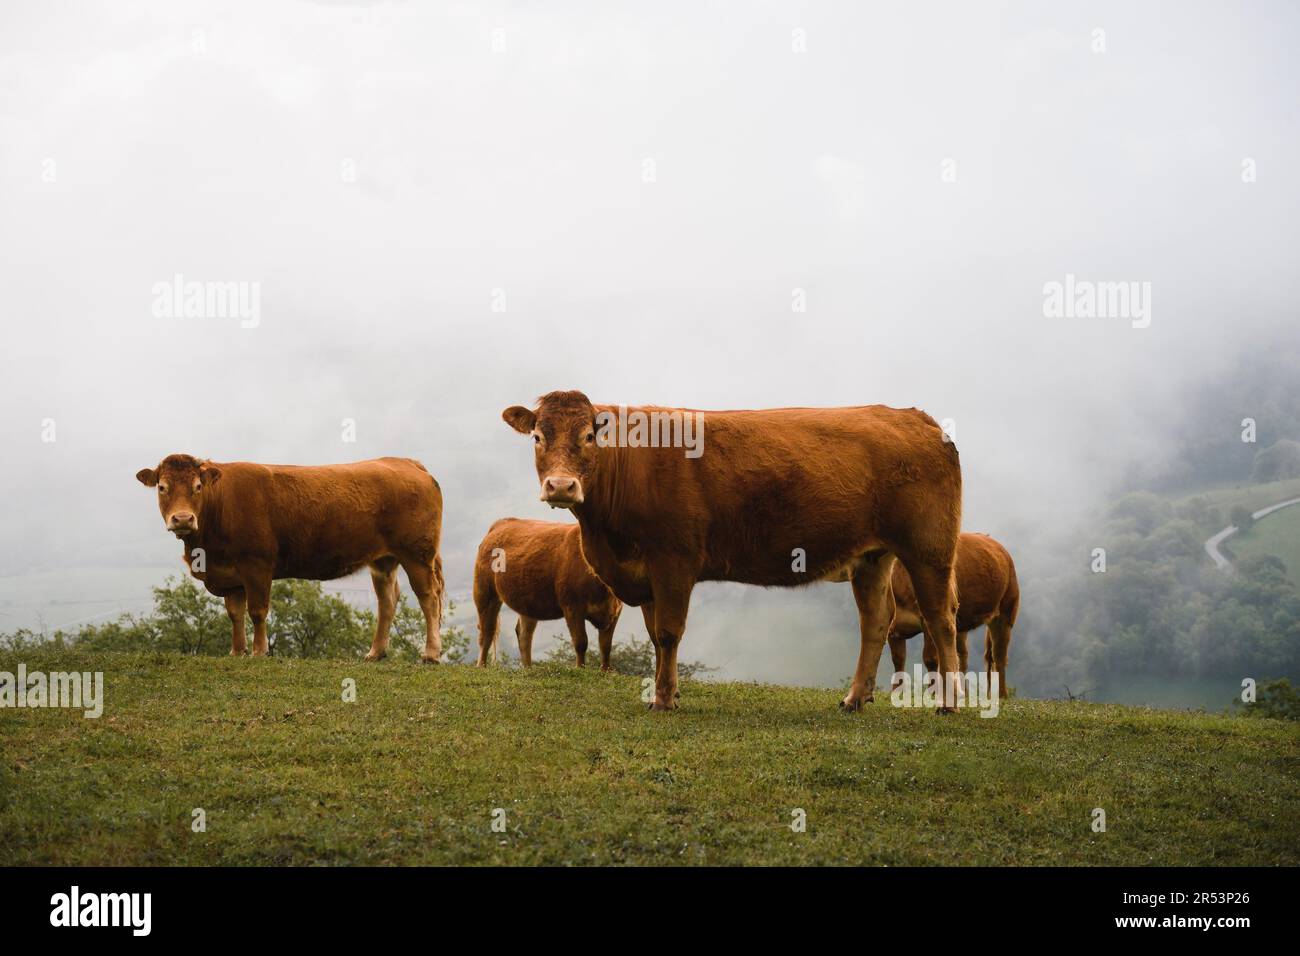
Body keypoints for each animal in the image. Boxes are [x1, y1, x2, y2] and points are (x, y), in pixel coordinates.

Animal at [135, 454, 445, 662]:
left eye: (198, 486)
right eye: (162, 487)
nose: (182, 518)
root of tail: (406, 462)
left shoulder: (257, 565)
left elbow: (257, 611)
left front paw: (259, 651)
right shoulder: (230, 575)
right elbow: (235, 614)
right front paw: (237, 651)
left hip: (418, 554)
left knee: (428, 597)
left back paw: (430, 653)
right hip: (384, 559)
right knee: (387, 601)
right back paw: (375, 652)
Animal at [472, 518, 623, 669]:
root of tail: (502, 522)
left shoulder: (615, 612)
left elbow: (606, 646)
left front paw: (605, 670)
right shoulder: (572, 607)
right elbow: (581, 642)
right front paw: (581, 668)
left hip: (528, 601)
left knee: (524, 635)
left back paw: (528, 668)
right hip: (485, 592)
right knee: (487, 632)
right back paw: (481, 666)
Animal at [502, 391, 964, 712]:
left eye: (588, 436)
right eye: (538, 437)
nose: (561, 486)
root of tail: (911, 416)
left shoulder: (674, 560)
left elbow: (668, 633)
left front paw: (664, 700)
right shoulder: (646, 572)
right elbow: (655, 636)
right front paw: (664, 692)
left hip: (930, 548)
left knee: (941, 619)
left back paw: (948, 703)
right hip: (872, 556)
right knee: (875, 621)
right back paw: (855, 698)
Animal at [887, 532, 1019, 698]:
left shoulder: (929, 619)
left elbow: (930, 658)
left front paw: (933, 693)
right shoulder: (893, 627)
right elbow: (898, 659)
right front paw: (896, 693)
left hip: (1005, 613)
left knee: (999, 656)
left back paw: (1001, 695)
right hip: (960, 623)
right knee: (962, 655)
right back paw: (964, 693)